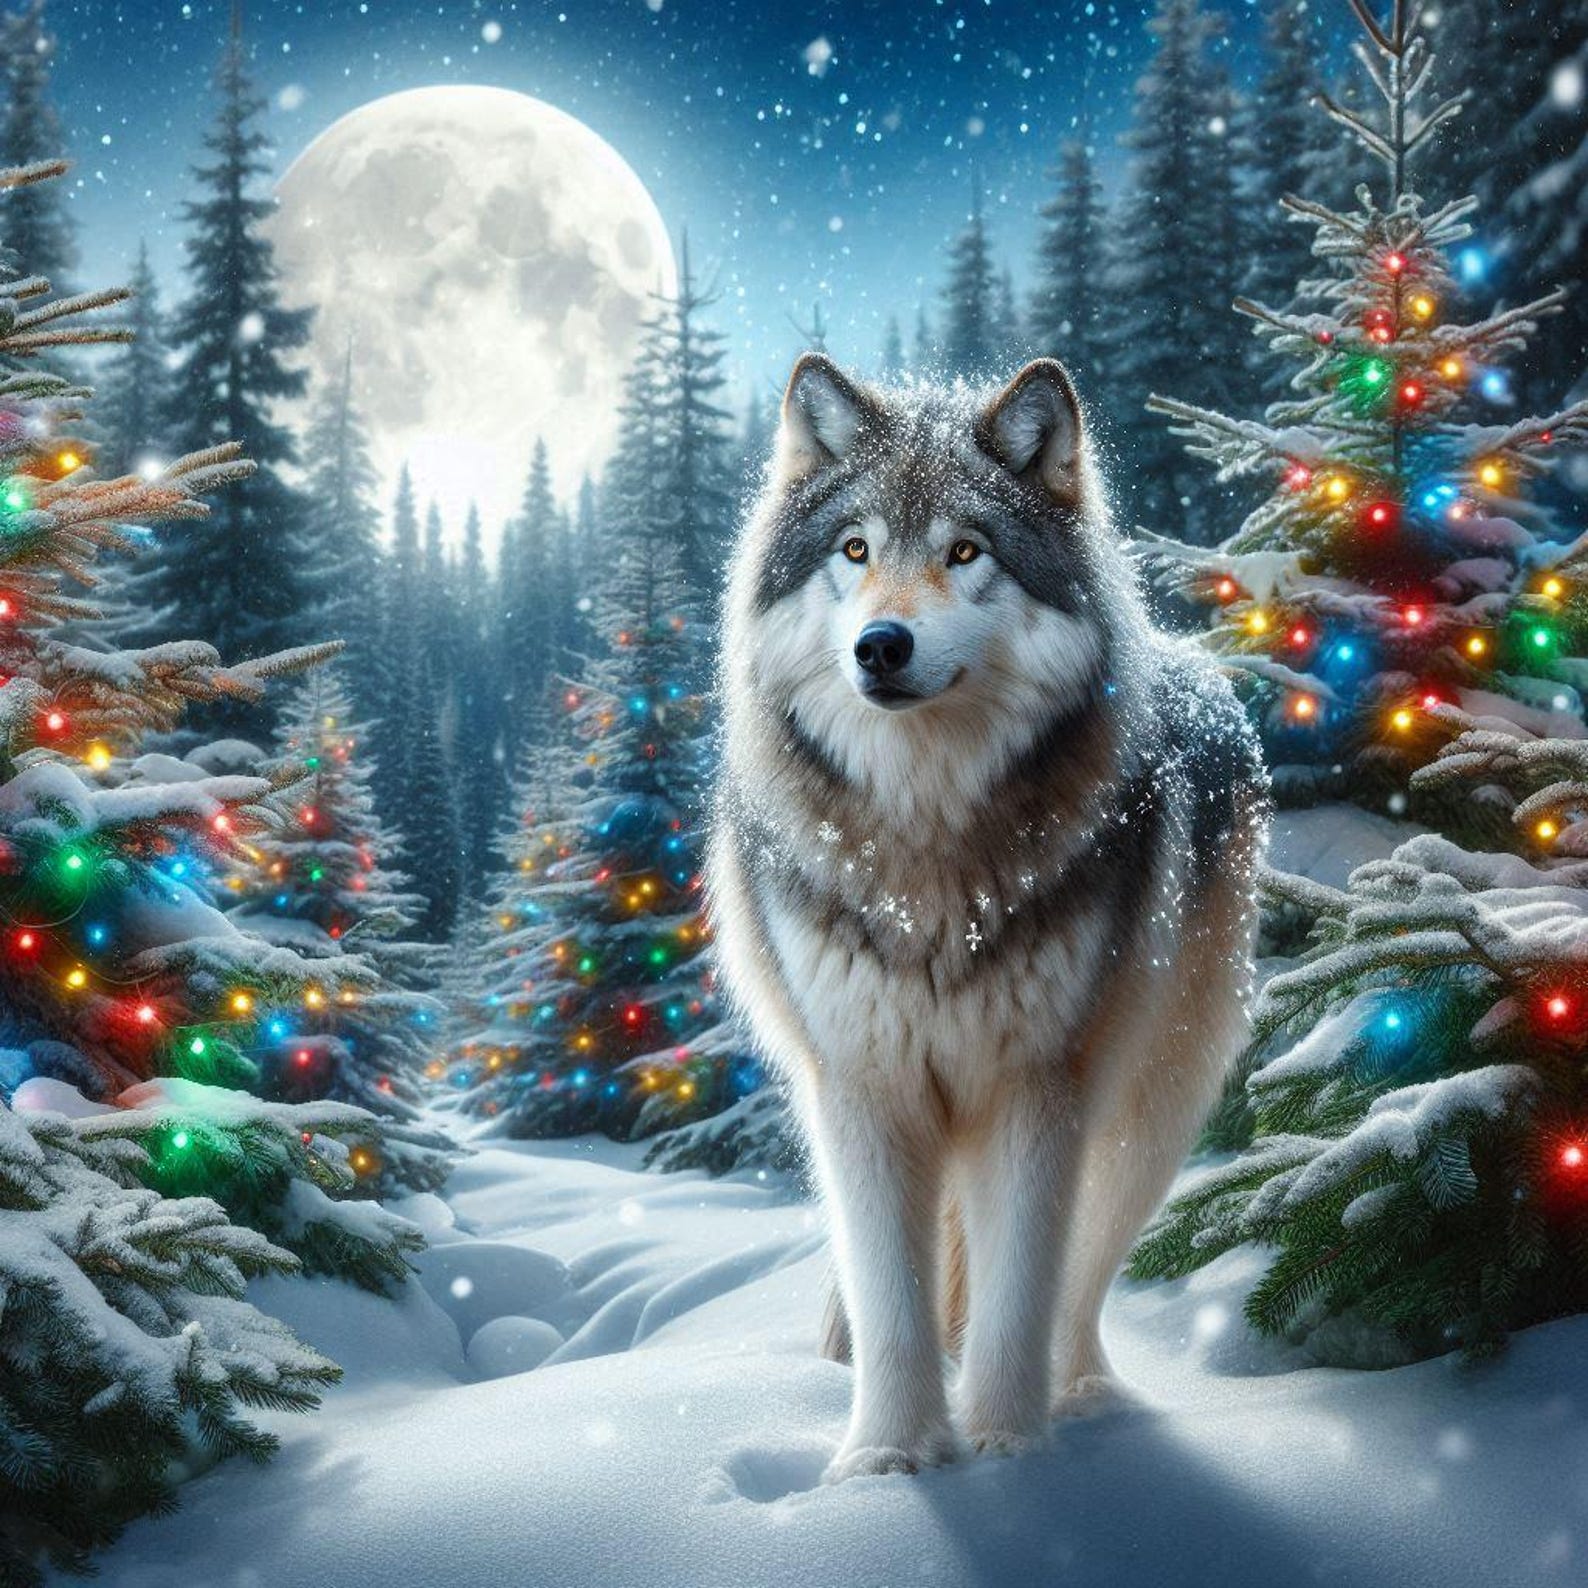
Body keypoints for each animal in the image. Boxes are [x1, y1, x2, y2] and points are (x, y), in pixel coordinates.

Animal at [708, 353, 1267, 1483]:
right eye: (855, 549)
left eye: (966, 551)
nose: (881, 645)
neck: (929, 849)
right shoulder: (863, 1088)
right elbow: (892, 1300)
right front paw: (887, 1460)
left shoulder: (1035, 1088)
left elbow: (1018, 1297)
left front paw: (1011, 1455)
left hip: (1147, 1115)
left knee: (1078, 1280)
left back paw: (1088, 1399)